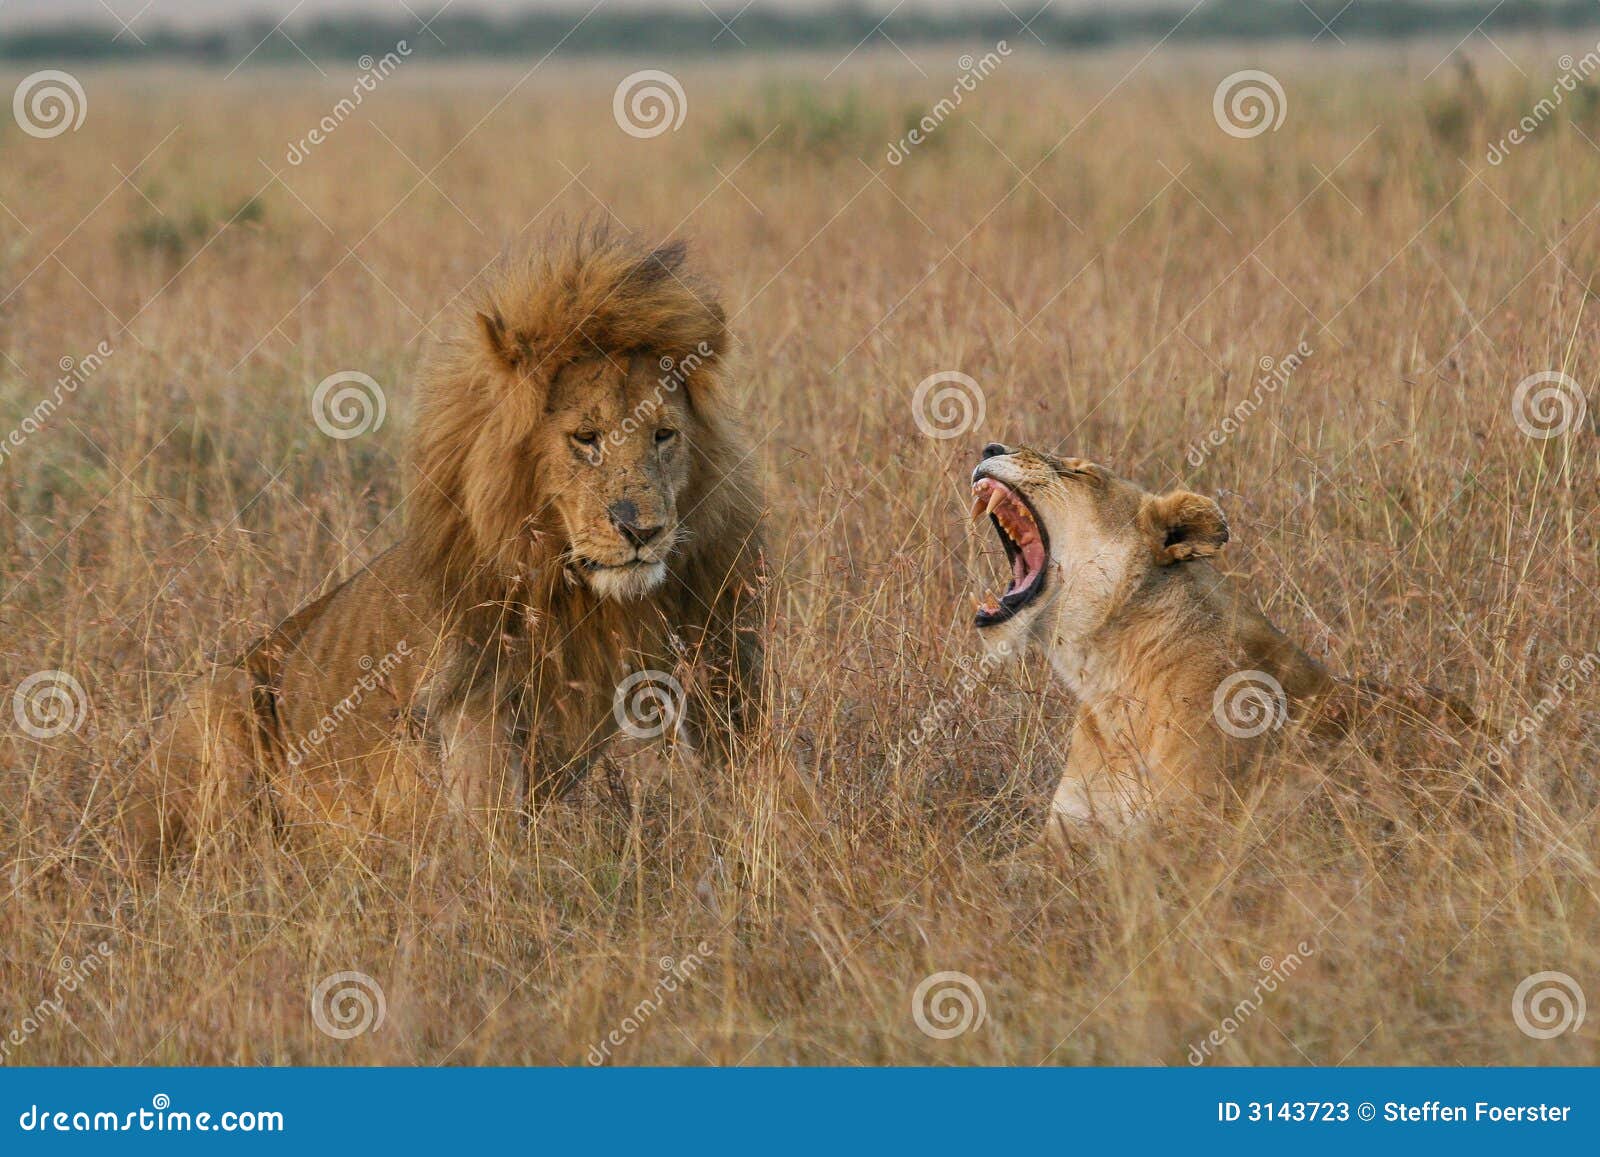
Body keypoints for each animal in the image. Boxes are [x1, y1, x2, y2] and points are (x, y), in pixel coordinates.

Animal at [126, 229, 765, 861]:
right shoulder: (473, 694)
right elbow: (488, 818)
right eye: (586, 438)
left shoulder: (713, 647)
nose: (643, 531)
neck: (577, 588)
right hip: (221, 692)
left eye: (665, 435)